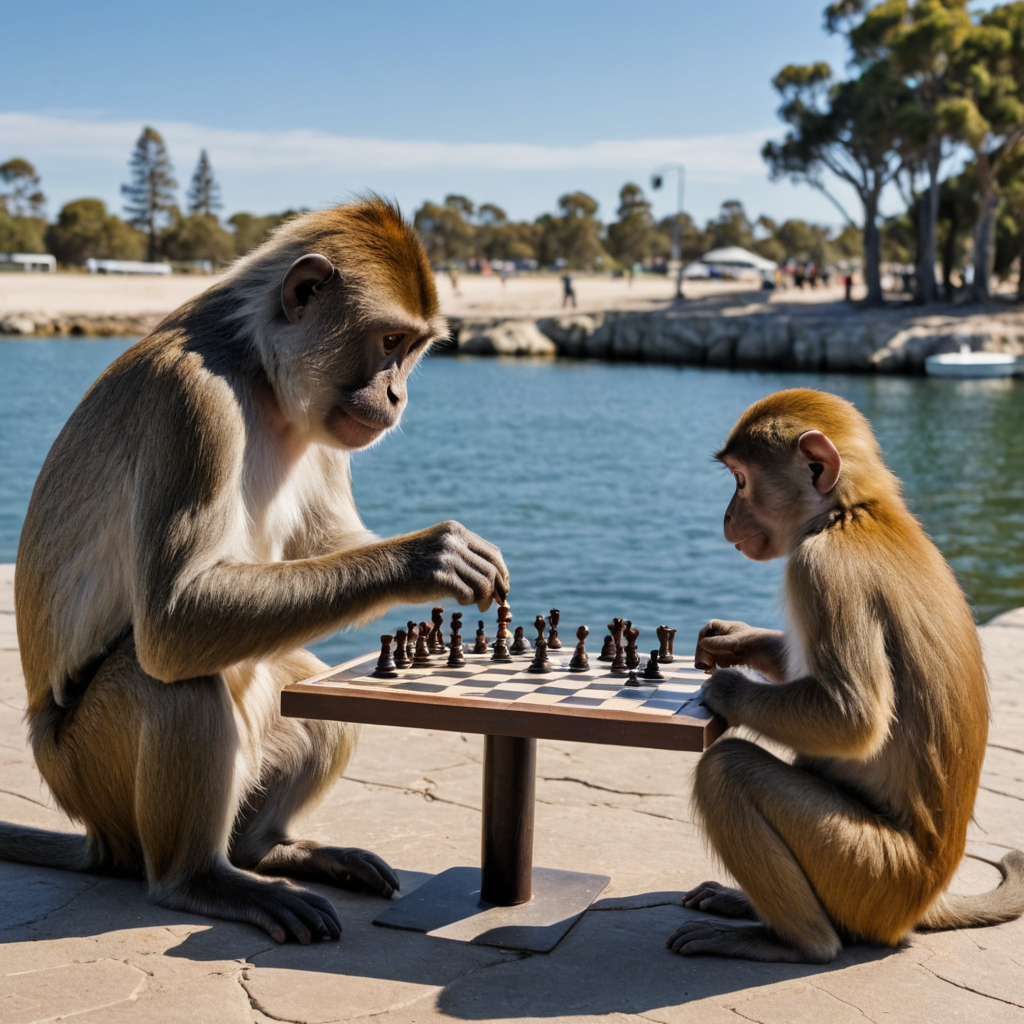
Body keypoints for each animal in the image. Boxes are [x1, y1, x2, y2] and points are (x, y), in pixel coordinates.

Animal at [6, 197, 510, 944]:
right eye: (390, 342)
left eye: (412, 350)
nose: (397, 396)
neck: (255, 371)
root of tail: (94, 831)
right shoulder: (191, 406)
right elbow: (174, 619)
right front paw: (428, 556)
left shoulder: (323, 425)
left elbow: (323, 542)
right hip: (85, 769)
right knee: (175, 680)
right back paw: (200, 879)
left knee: (300, 683)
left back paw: (267, 849)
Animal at [667, 387, 1024, 963]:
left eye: (741, 481)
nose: (726, 516)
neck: (851, 513)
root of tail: (923, 899)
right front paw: (731, 640)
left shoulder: (821, 568)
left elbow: (852, 718)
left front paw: (725, 688)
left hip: (869, 872)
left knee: (728, 769)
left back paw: (798, 943)